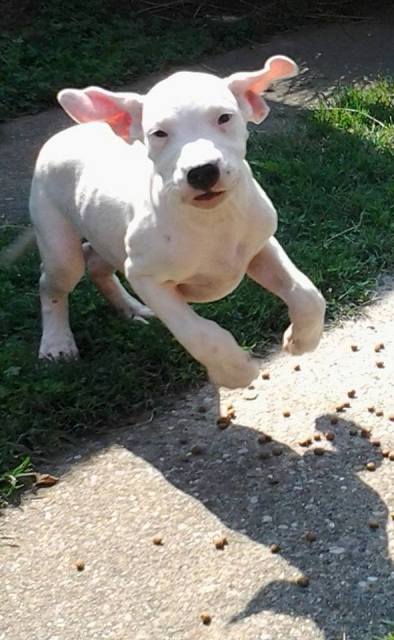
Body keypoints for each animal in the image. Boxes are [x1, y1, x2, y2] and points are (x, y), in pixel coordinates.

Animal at [30, 55, 326, 388]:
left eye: (224, 118)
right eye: (159, 133)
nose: (202, 172)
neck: (210, 220)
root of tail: (67, 133)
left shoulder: (261, 247)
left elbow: (307, 295)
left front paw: (302, 339)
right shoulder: (148, 279)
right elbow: (198, 333)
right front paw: (235, 370)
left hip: (108, 236)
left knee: (95, 260)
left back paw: (131, 309)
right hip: (59, 244)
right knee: (52, 283)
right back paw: (57, 344)